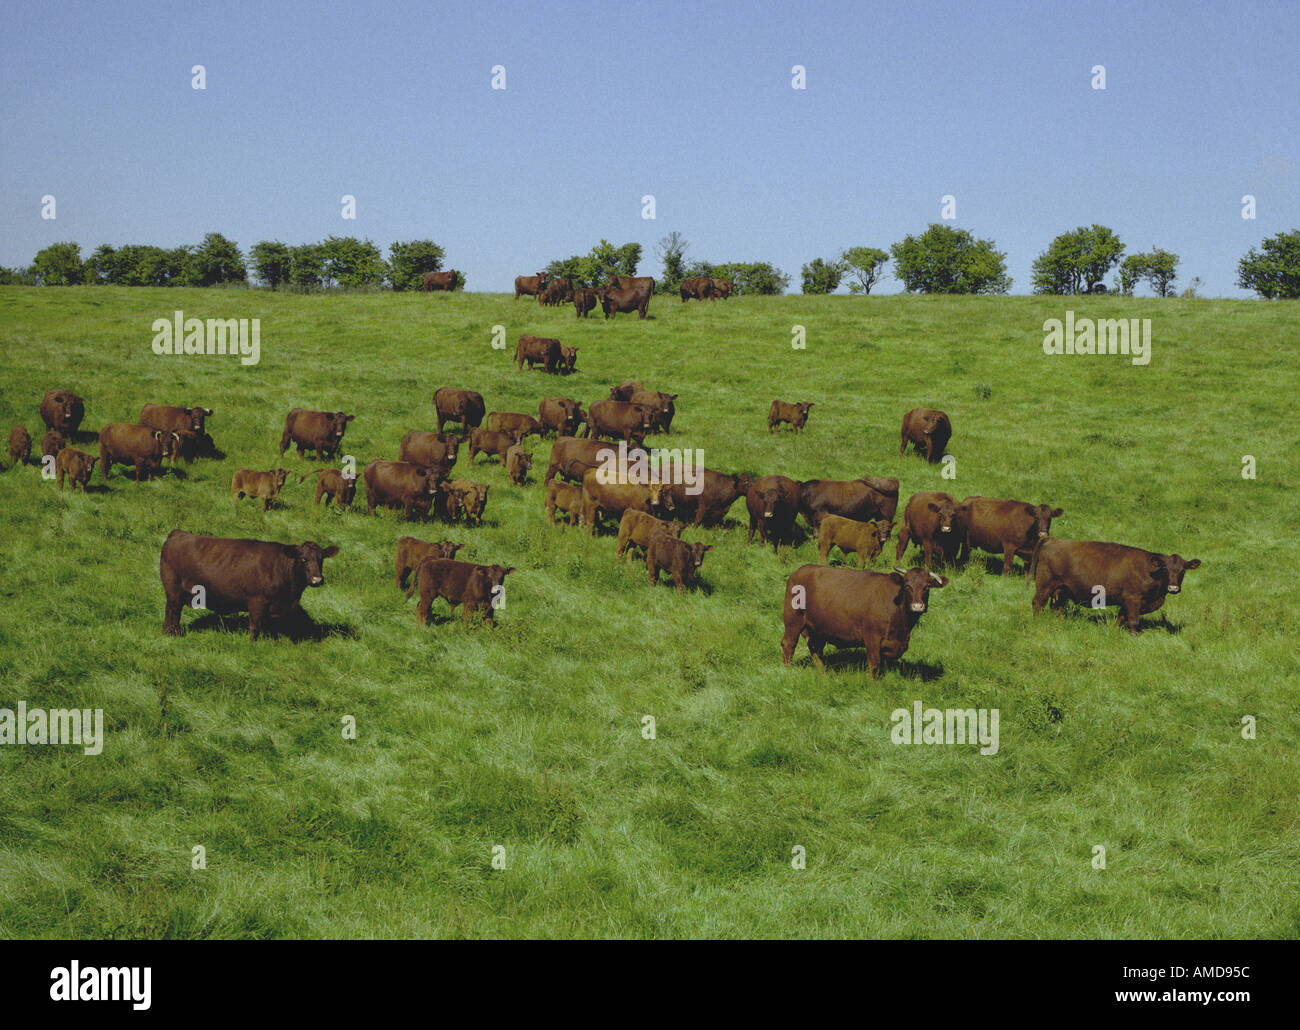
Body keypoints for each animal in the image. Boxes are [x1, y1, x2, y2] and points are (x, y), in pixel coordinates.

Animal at [160, 529, 338, 641]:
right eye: (303, 559)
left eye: (321, 559)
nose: (317, 580)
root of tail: (178, 533)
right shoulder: (257, 601)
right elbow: (255, 626)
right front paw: (253, 644)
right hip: (173, 589)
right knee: (172, 612)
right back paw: (172, 634)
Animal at [782, 565, 947, 677]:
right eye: (907, 585)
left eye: (927, 586)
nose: (917, 606)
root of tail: (800, 570)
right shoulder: (871, 637)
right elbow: (874, 662)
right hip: (793, 620)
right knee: (789, 644)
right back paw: (787, 670)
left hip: (818, 628)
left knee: (816, 649)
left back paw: (823, 673)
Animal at [1029, 539, 1201, 634]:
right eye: (1165, 569)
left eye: (1183, 570)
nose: (1173, 588)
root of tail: (1054, 540)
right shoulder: (1133, 599)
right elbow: (1133, 621)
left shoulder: (1126, 602)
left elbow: (1120, 618)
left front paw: (1115, 633)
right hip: (1045, 586)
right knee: (1038, 604)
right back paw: (1037, 623)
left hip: (1062, 590)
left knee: (1057, 608)